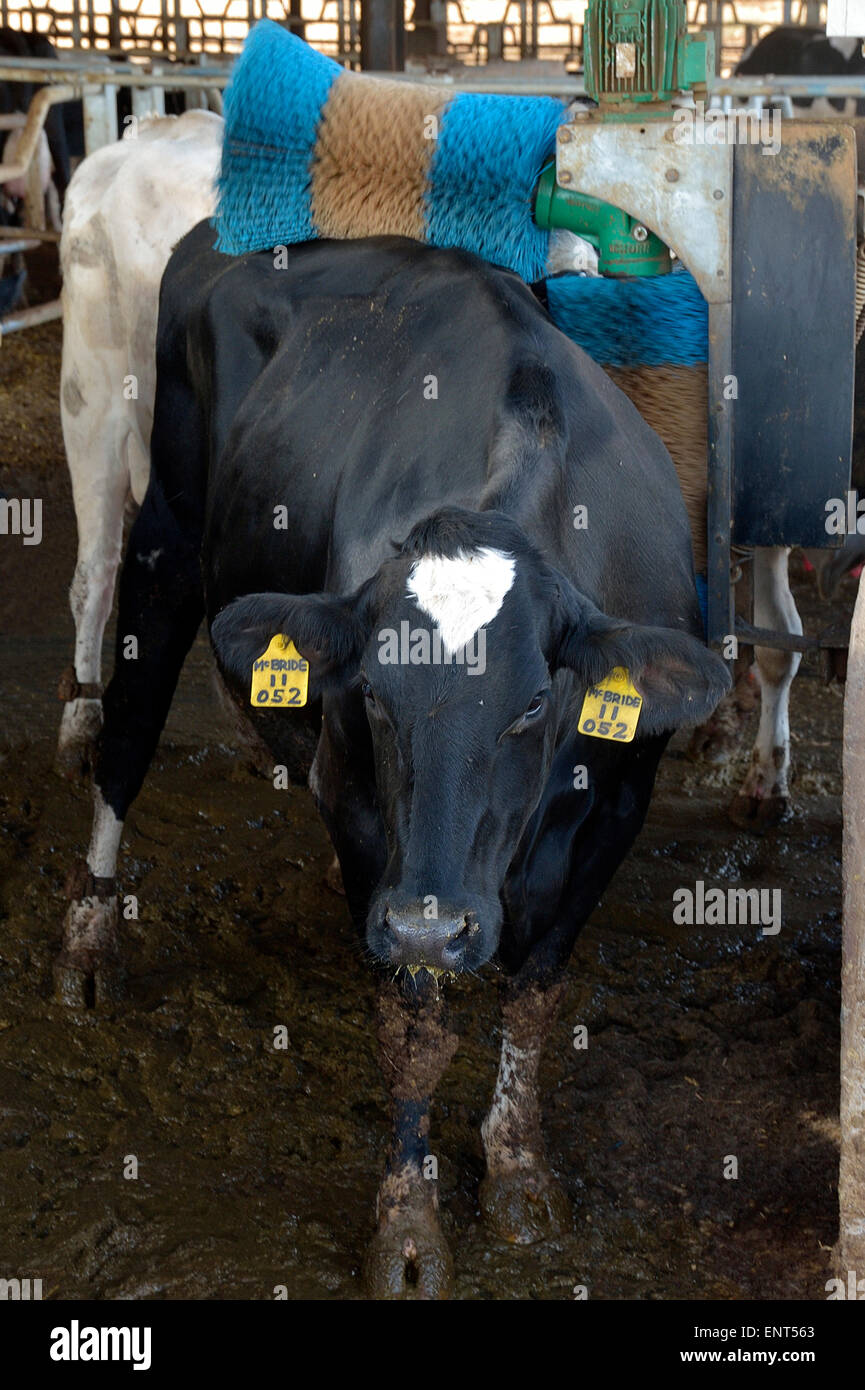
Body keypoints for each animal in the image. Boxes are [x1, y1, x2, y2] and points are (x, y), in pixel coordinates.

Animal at [59, 223, 730, 1297]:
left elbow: (535, 994)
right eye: (372, 692)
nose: (429, 925)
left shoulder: (617, 811)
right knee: (122, 740)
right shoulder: (367, 820)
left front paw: (517, 1166)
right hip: (164, 531)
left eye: (535, 702)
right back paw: (88, 941)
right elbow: (413, 1037)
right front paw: (409, 1228)